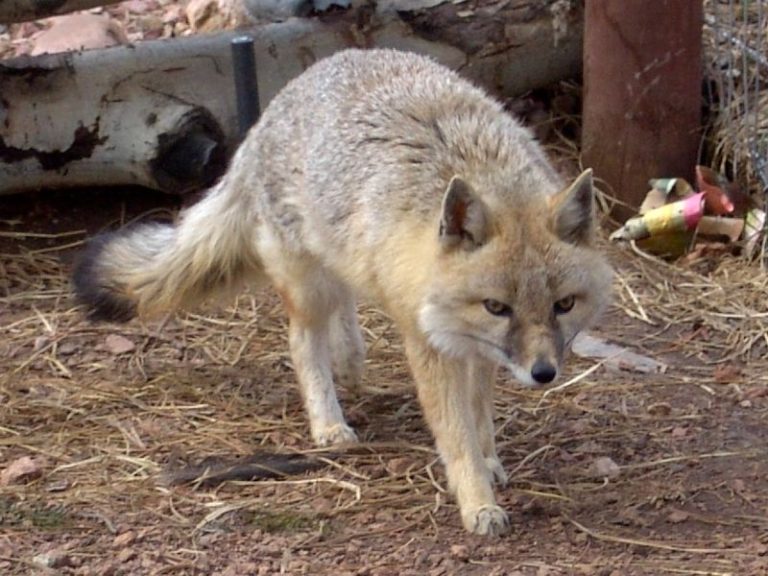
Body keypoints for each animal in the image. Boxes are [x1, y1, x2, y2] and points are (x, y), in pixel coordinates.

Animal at [73, 48, 612, 536]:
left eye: (563, 305)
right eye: (498, 307)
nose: (544, 374)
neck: (481, 169)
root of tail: (272, 110)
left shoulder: (476, 347)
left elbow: (480, 414)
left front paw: (490, 459)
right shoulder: (432, 344)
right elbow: (455, 433)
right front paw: (477, 500)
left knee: (345, 301)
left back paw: (350, 356)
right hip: (307, 285)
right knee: (302, 342)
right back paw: (328, 421)